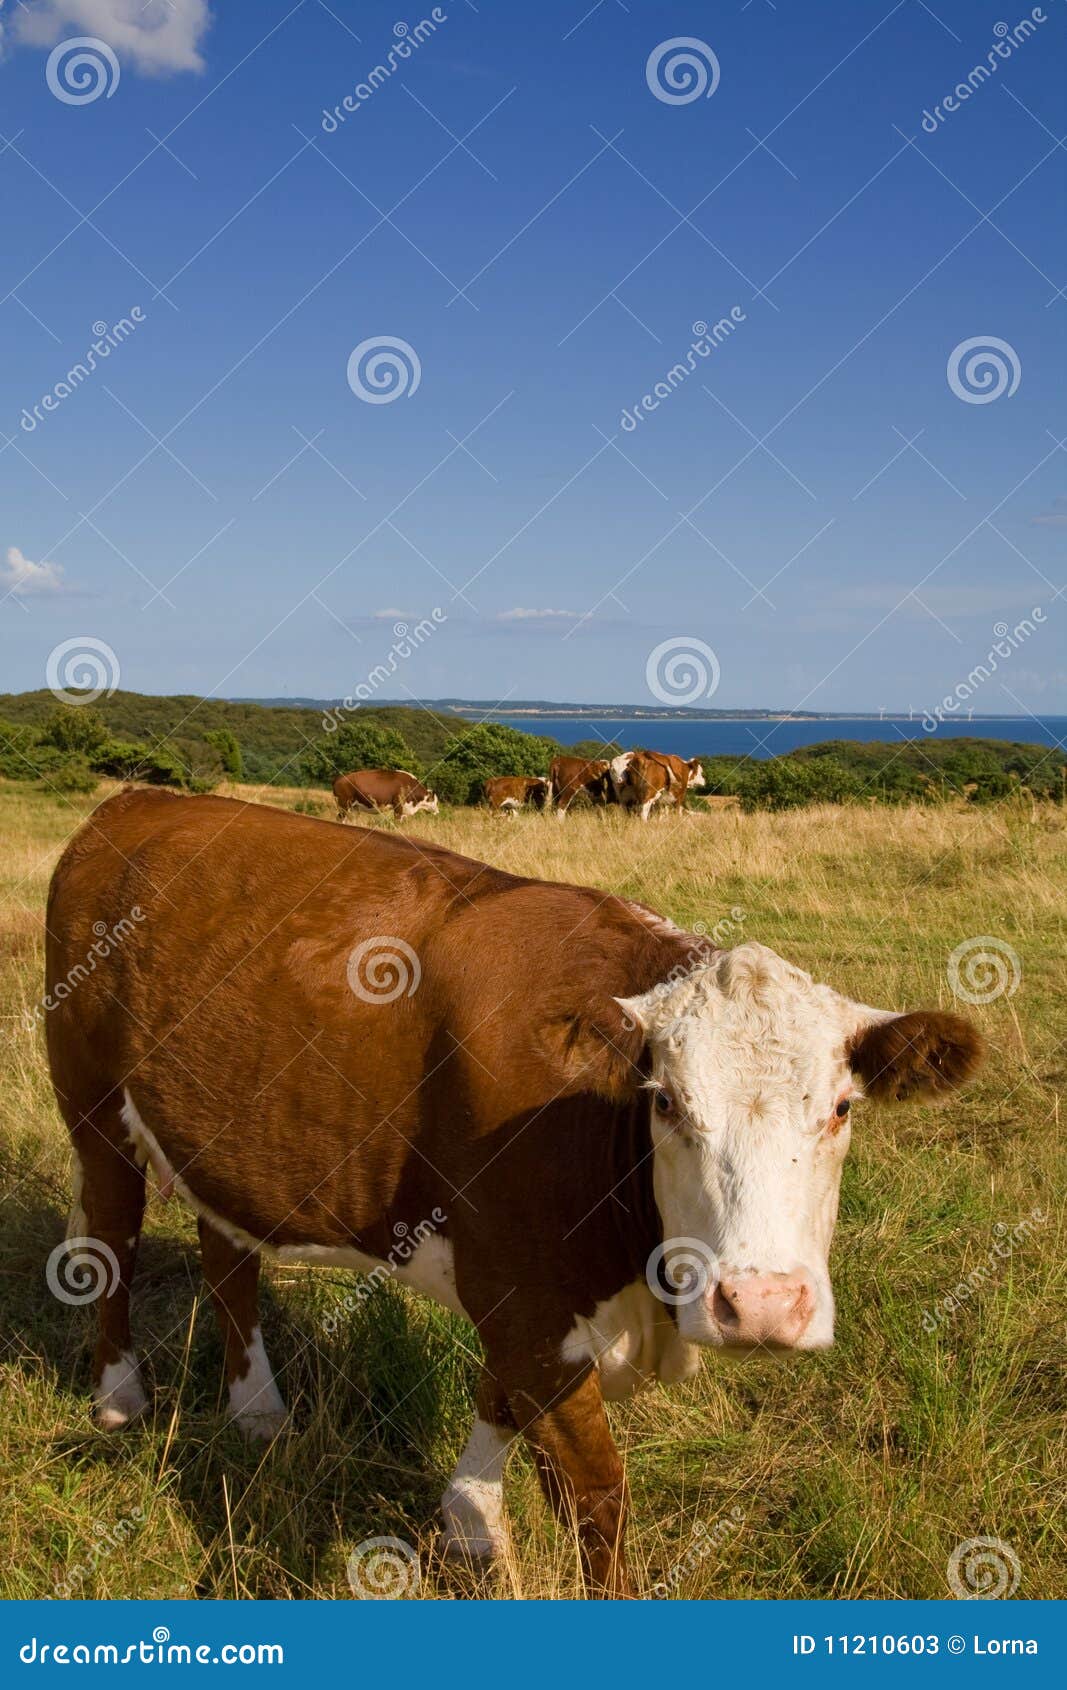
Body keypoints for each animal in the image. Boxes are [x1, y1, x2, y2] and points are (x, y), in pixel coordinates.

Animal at [45, 789, 983, 1597]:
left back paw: (257, 1410)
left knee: (228, 1256)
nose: (760, 1306)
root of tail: (141, 799)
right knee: (113, 1243)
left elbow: (495, 1397)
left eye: (841, 1106)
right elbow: (595, 1493)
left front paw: (467, 1523)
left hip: (225, 1137)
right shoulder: (524, 1300)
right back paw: (120, 1399)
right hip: (92, 1108)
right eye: (666, 1102)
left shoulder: (517, 1303)